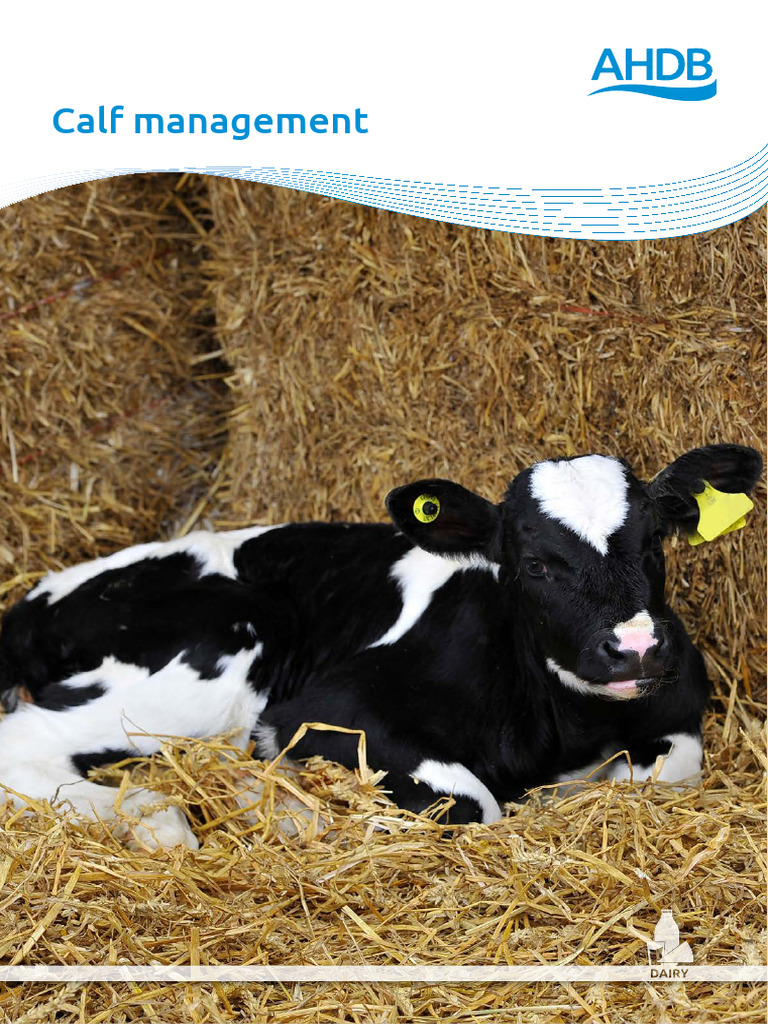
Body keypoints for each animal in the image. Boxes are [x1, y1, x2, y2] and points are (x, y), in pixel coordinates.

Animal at [0, 443, 761, 848]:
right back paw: (163, 817)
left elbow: (668, 767)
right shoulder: (323, 710)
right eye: (535, 565)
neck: (570, 728)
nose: (634, 647)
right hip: (223, 646)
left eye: (654, 543)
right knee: (27, 745)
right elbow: (474, 801)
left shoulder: (675, 713)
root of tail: (35, 600)